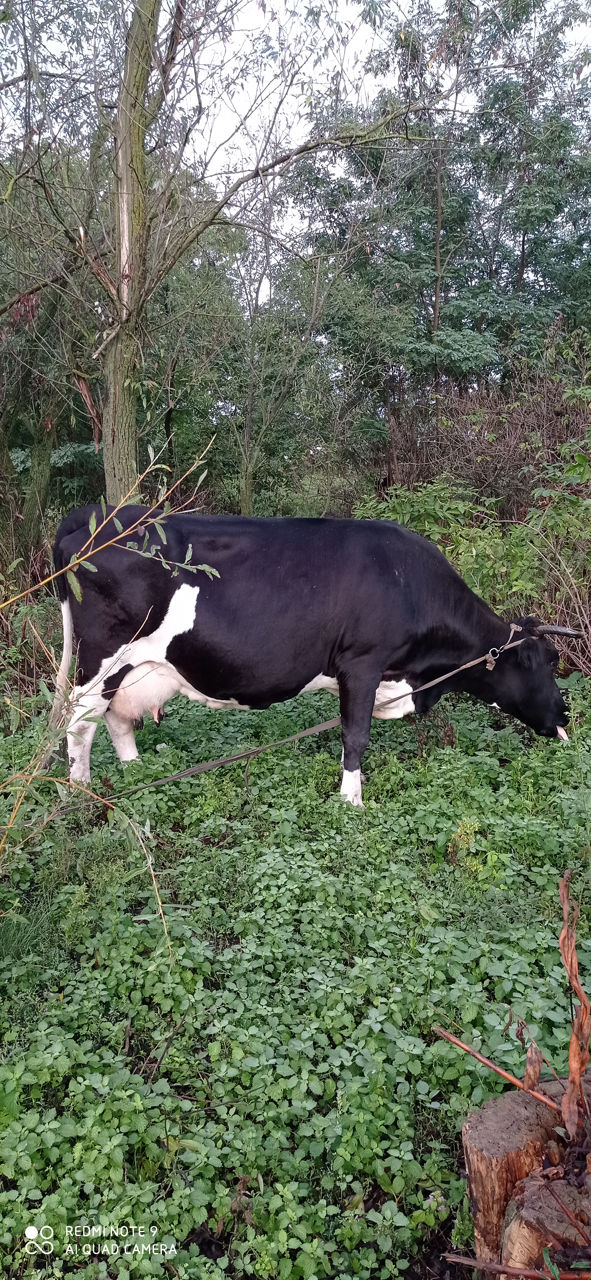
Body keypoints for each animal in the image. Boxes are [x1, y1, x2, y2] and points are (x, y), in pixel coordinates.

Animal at [50, 504, 574, 806]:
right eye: (550, 662)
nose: (567, 715)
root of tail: (96, 513)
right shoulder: (362, 664)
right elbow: (355, 735)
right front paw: (351, 802)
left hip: (135, 666)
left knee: (116, 718)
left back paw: (138, 773)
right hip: (100, 658)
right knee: (78, 723)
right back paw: (80, 794)